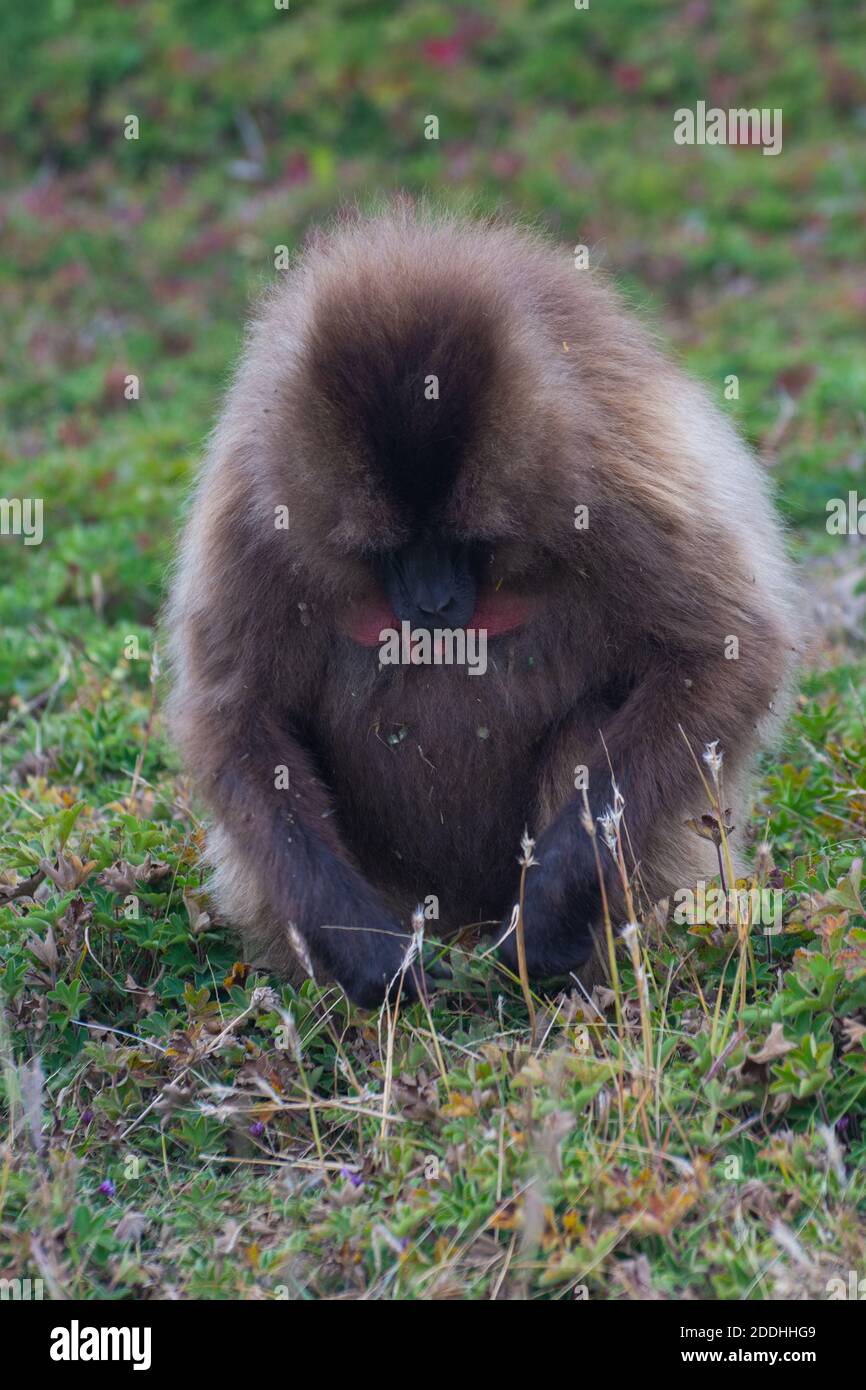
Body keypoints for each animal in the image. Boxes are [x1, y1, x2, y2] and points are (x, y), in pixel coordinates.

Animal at [165, 205, 801, 1008]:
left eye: (466, 542)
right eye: (389, 549)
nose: (434, 602)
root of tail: (459, 918)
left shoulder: (615, 480)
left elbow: (725, 655)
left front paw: (548, 916)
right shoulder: (251, 510)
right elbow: (234, 713)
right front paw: (363, 948)